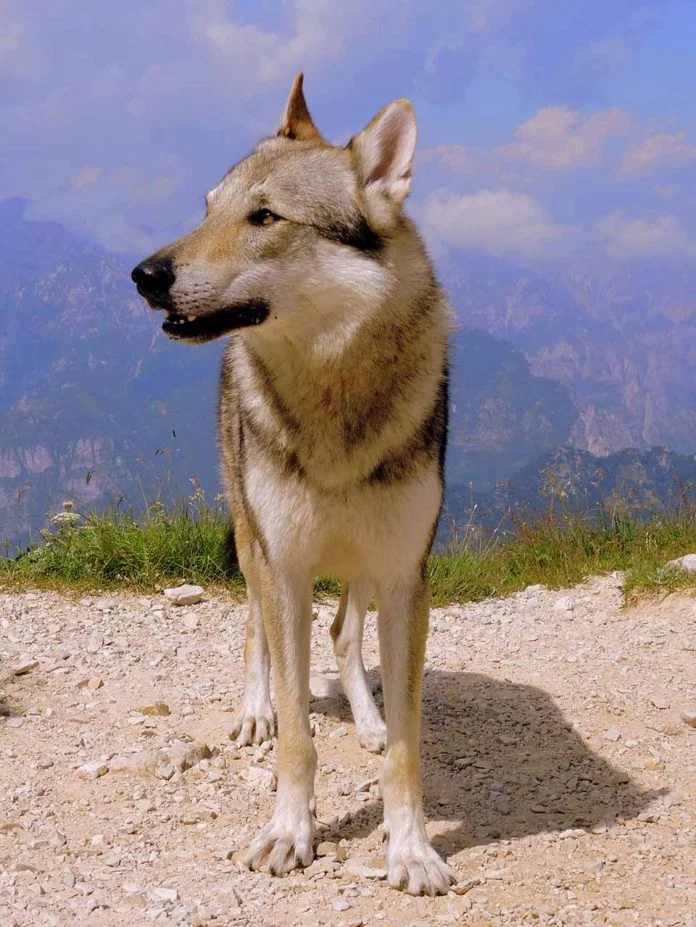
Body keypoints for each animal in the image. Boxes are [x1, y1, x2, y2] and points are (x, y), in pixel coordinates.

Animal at [131, 74, 455, 895]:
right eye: (206, 207)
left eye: (265, 217)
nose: (144, 276)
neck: (331, 397)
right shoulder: (284, 564)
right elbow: (299, 736)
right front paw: (289, 832)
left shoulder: (405, 573)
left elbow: (406, 747)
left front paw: (411, 849)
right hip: (253, 541)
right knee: (256, 633)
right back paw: (255, 712)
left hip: (363, 564)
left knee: (343, 633)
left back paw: (366, 717)